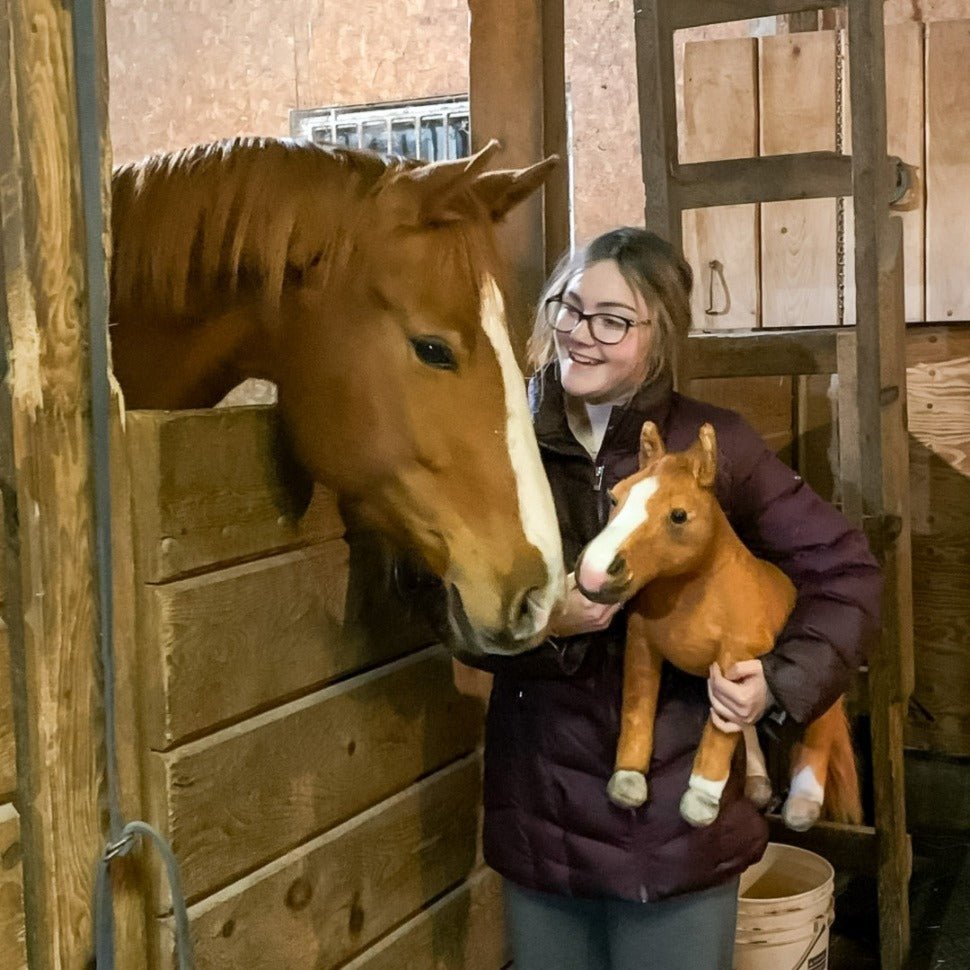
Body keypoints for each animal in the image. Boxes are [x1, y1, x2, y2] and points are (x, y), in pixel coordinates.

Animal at [573, 421, 862, 831]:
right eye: (615, 498)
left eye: (679, 515)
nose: (594, 573)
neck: (694, 597)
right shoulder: (644, 647)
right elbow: (638, 705)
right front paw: (628, 779)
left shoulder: (734, 662)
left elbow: (722, 728)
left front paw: (701, 799)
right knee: (751, 727)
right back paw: (758, 783)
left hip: (819, 687)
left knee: (818, 728)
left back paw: (802, 803)